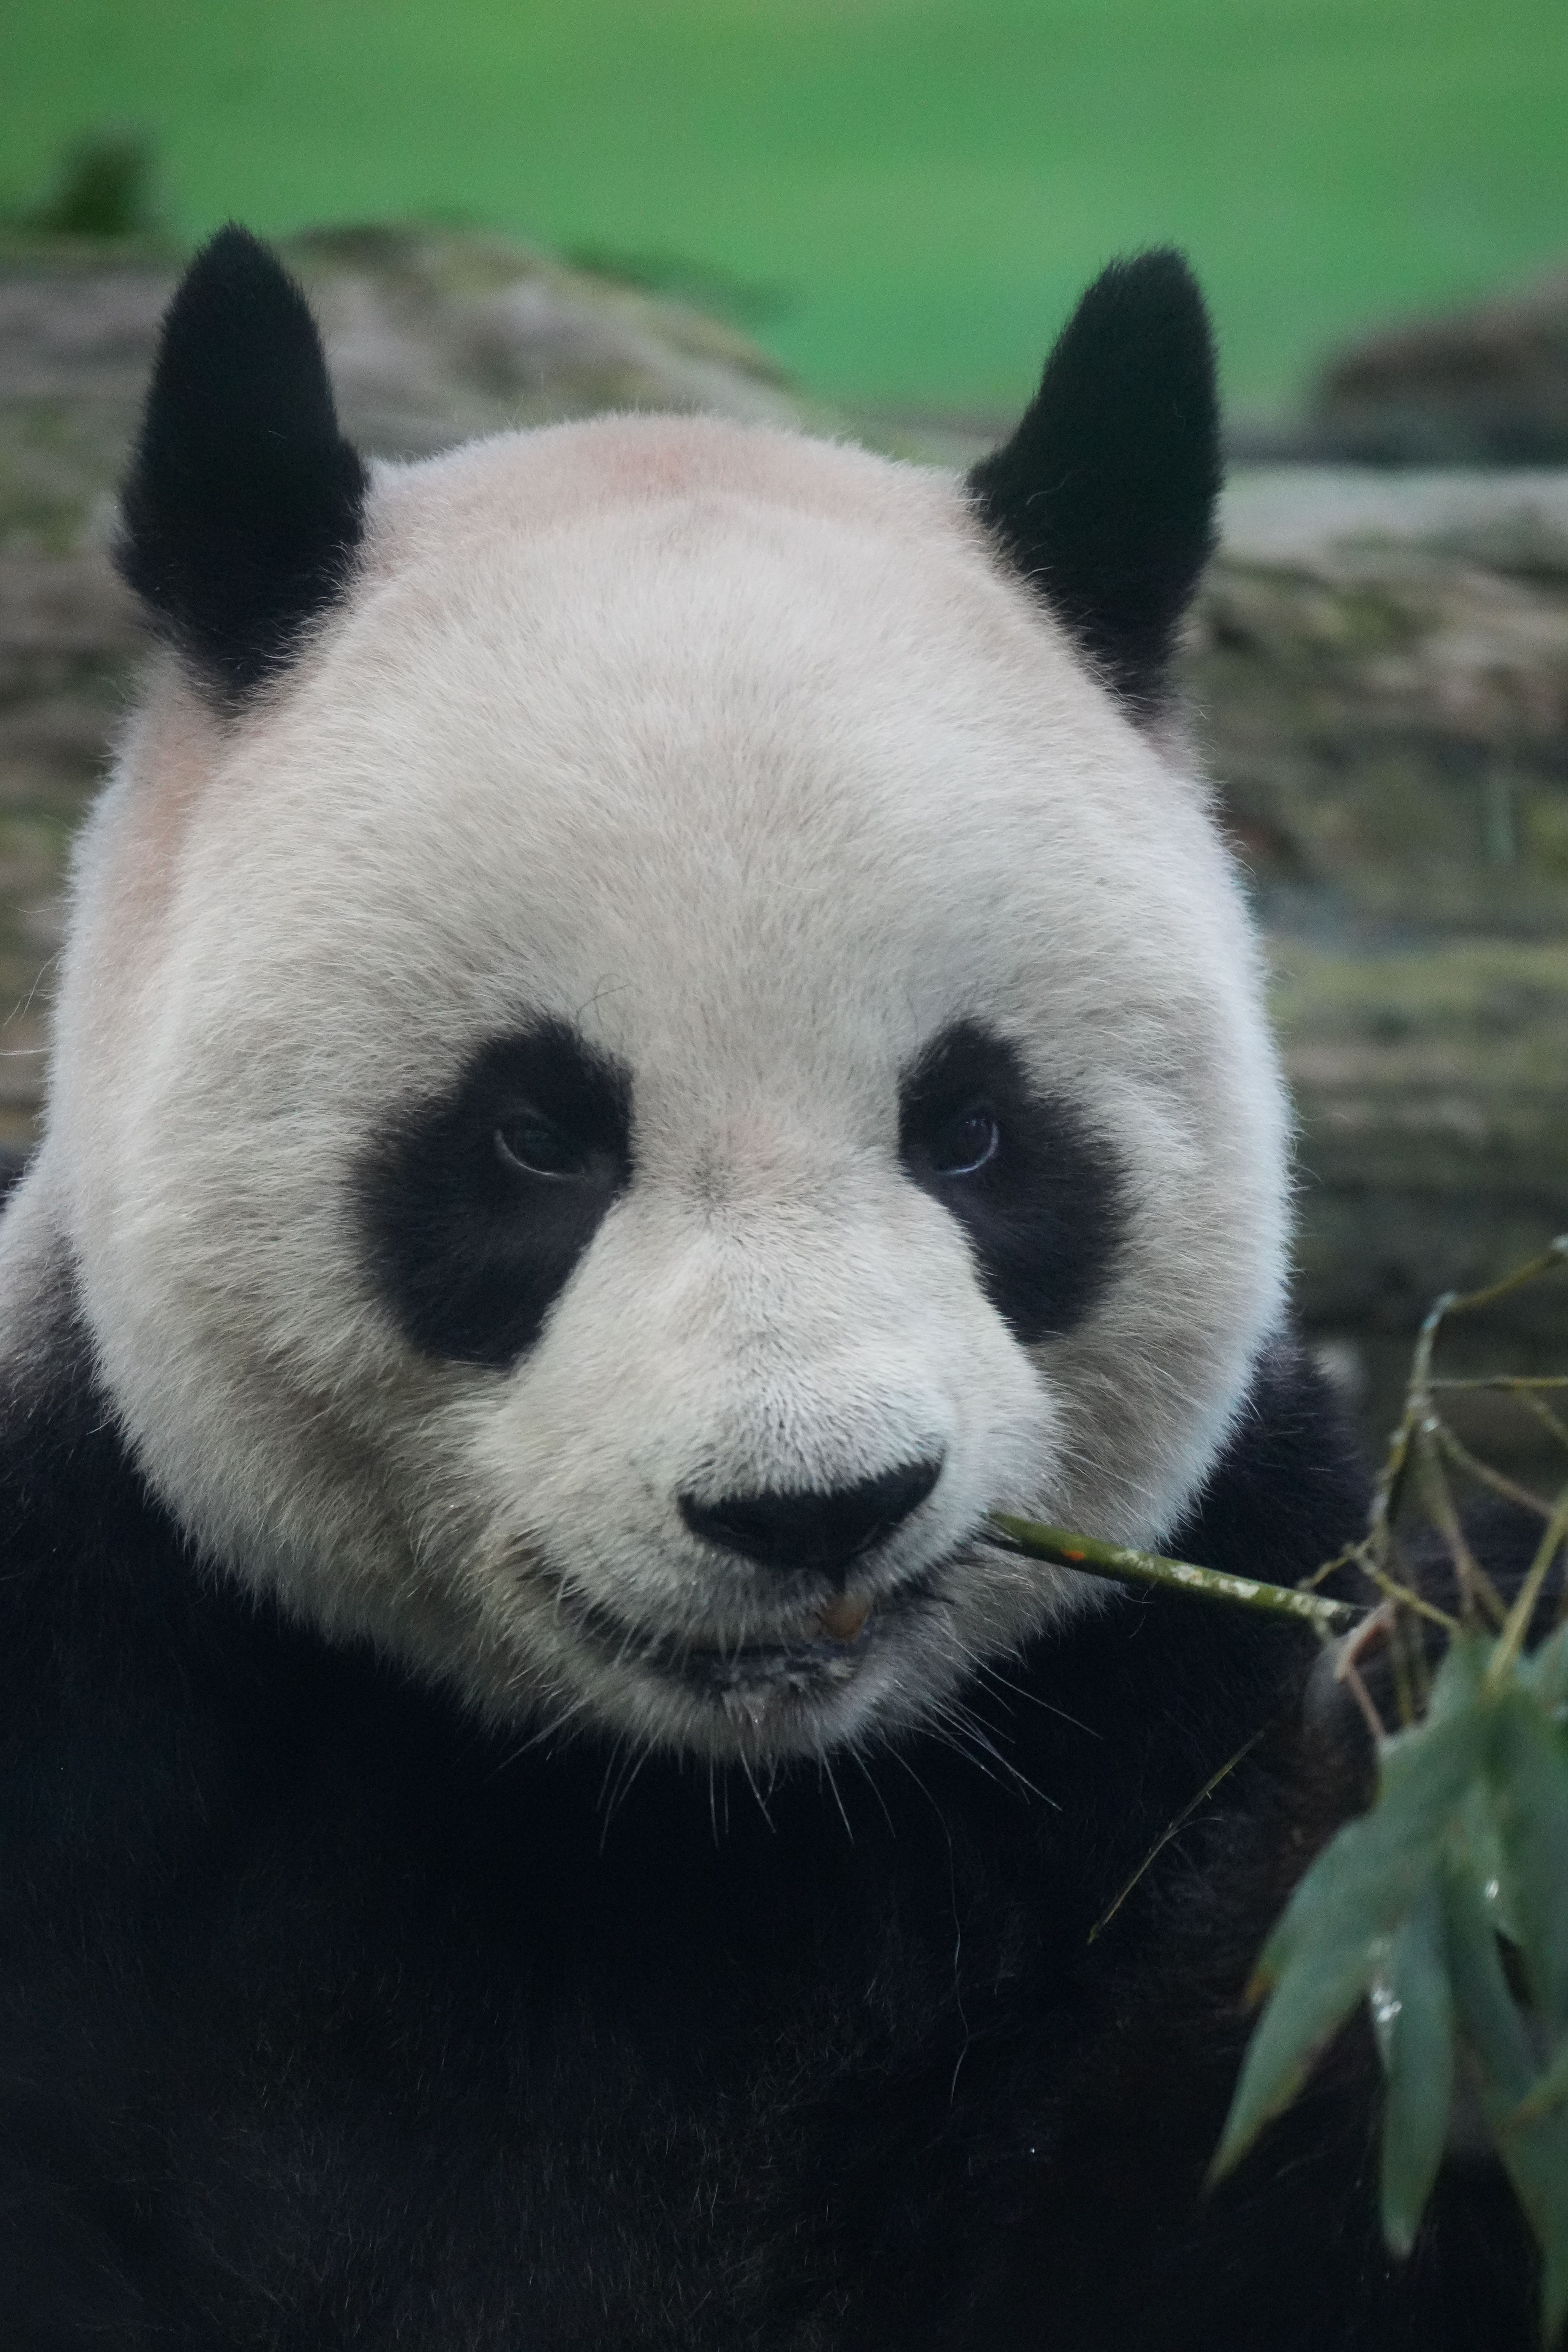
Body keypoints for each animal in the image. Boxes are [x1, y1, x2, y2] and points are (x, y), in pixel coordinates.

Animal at [0, 230, 1534, 2348]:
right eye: (534, 1135)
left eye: (971, 1129)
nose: (813, 1506)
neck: (700, 1826)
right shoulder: (118, 1706)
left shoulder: (1181, 1752)